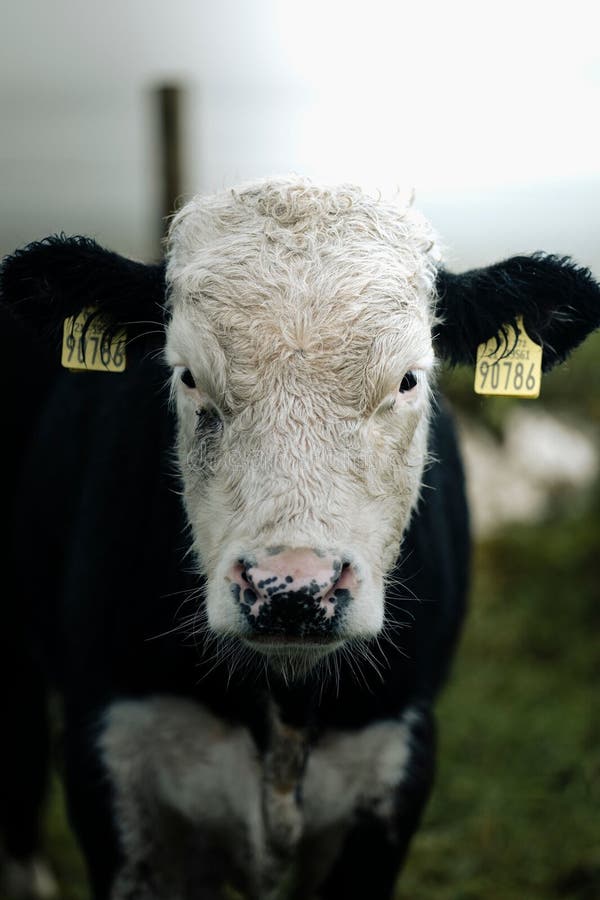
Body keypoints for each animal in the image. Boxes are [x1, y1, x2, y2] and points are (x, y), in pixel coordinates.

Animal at [1, 177, 599, 900]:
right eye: (187, 375)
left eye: (409, 379)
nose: (292, 588)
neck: (283, 712)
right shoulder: (111, 764)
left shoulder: (395, 765)